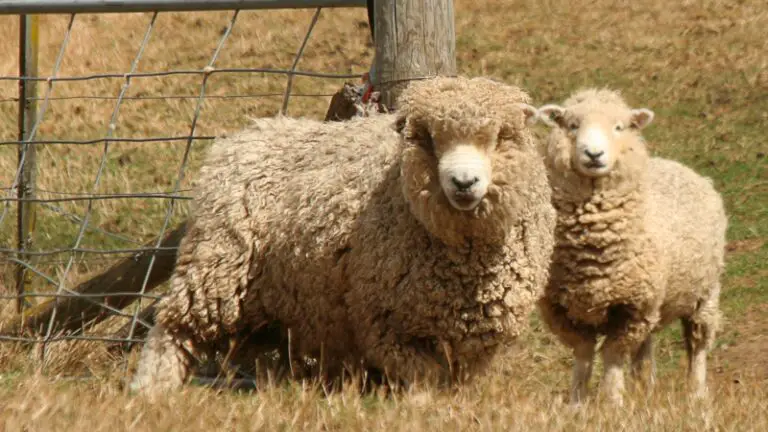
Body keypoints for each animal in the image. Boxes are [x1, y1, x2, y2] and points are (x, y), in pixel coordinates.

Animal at [129, 76, 557, 395]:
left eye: (500, 137)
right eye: (427, 138)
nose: (464, 183)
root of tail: (241, 138)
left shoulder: (479, 340)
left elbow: (458, 384)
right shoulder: (386, 324)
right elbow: (425, 379)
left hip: (274, 298)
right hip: (216, 268)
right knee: (173, 328)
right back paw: (152, 391)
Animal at [535, 88, 727, 405]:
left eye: (619, 127)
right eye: (572, 125)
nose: (594, 154)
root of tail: (676, 165)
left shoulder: (630, 308)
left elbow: (613, 354)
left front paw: (613, 401)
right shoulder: (561, 307)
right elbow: (584, 354)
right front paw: (577, 402)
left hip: (705, 291)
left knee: (698, 343)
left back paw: (696, 395)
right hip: (654, 300)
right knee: (645, 348)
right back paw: (644, 390)